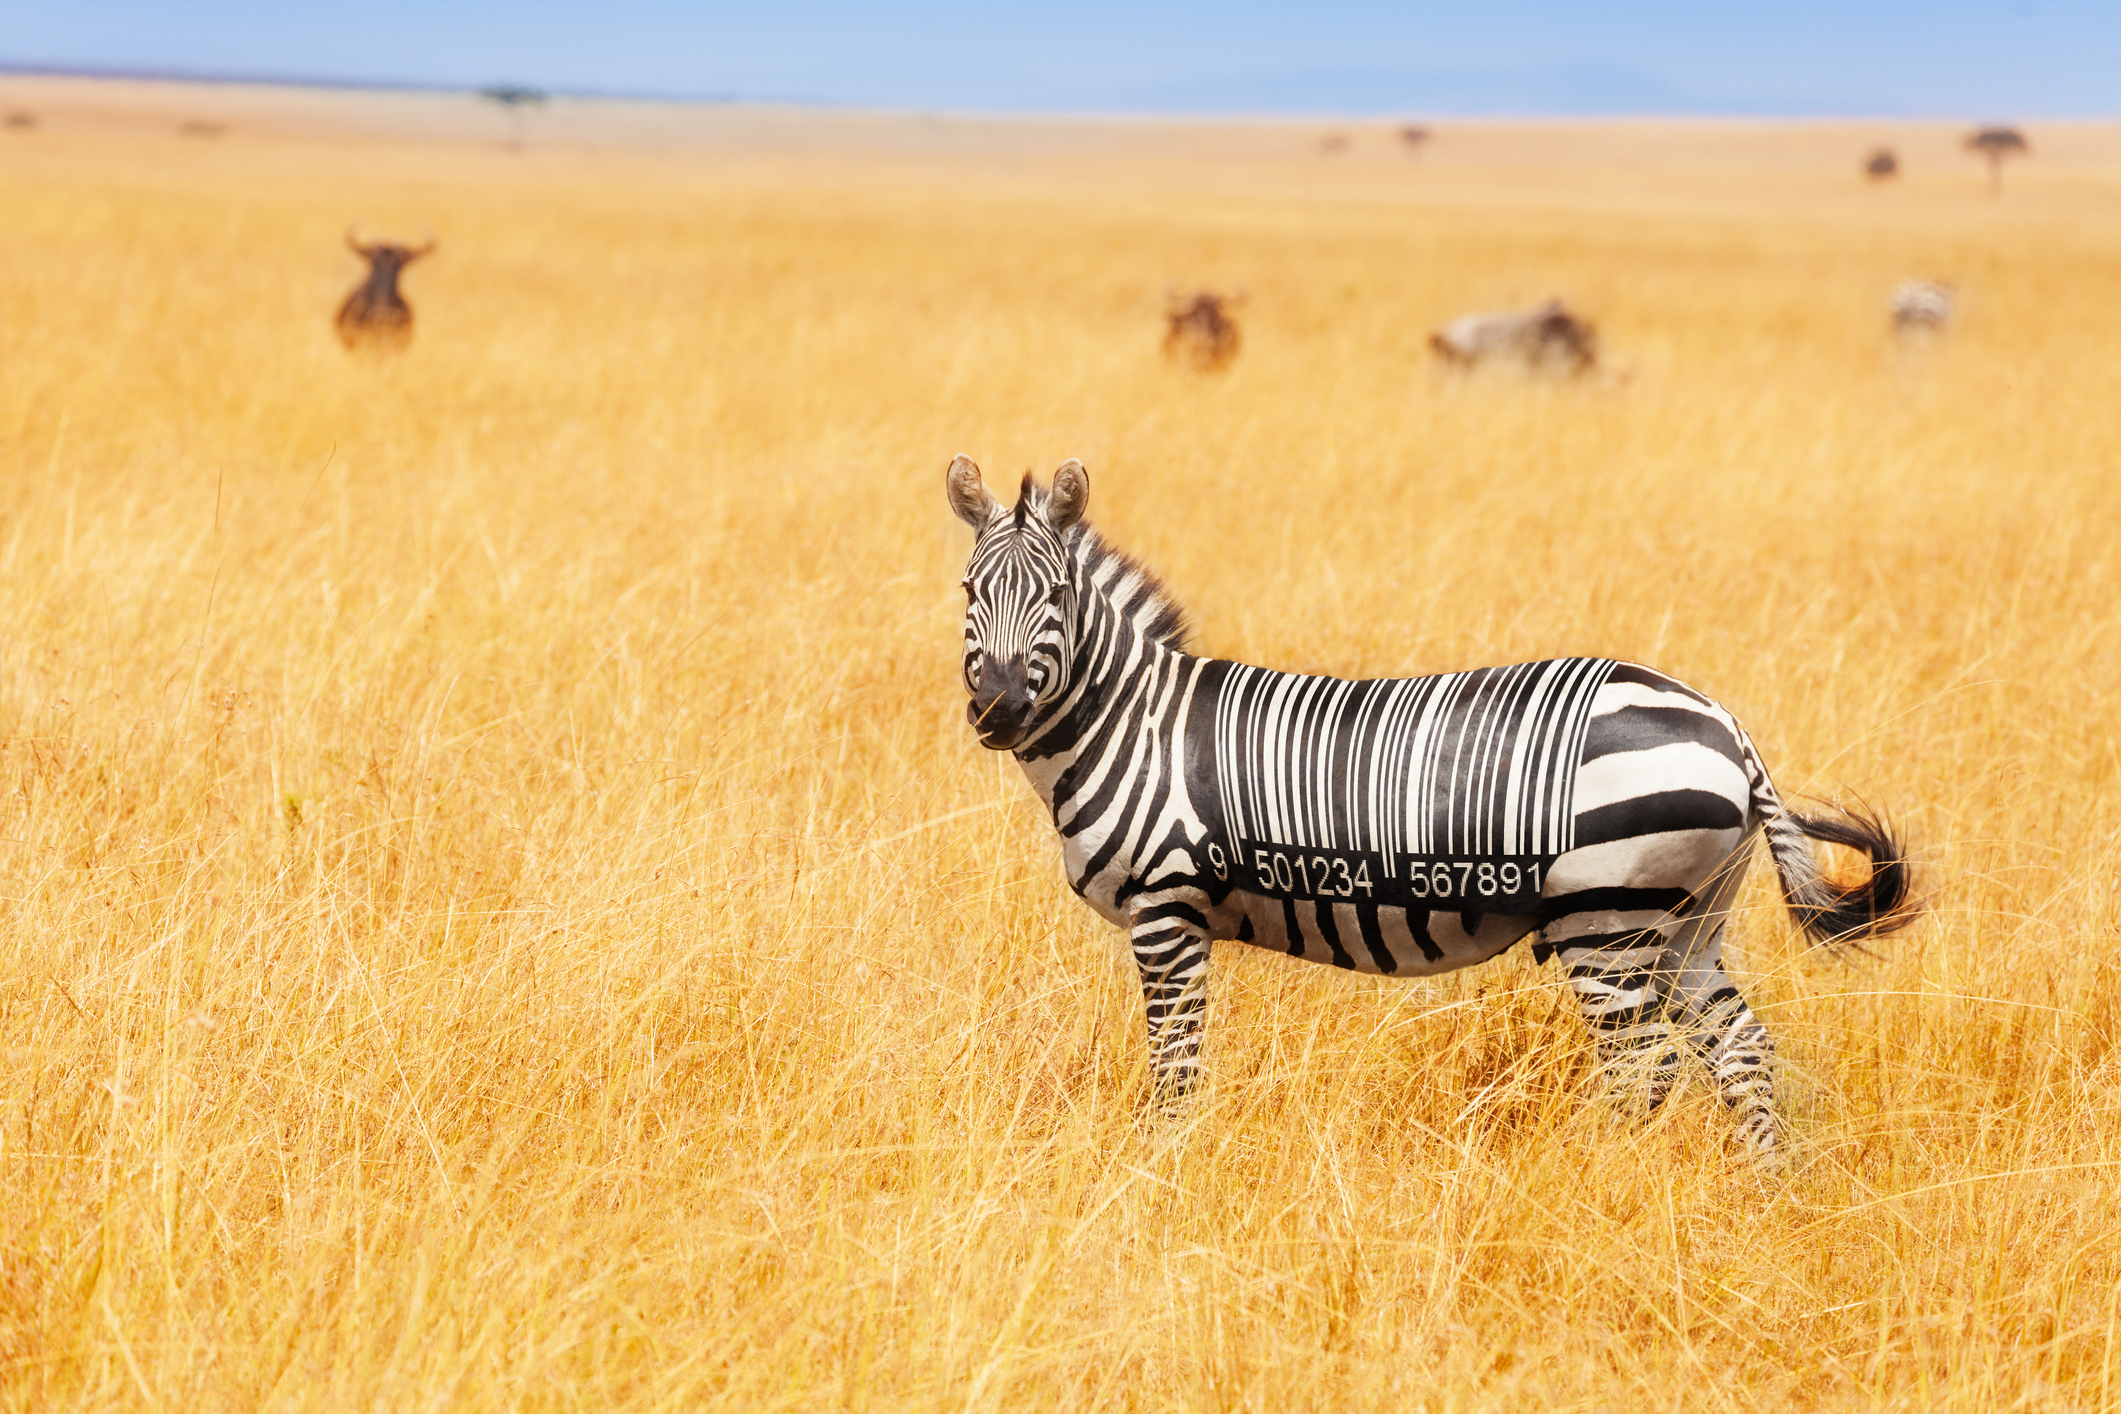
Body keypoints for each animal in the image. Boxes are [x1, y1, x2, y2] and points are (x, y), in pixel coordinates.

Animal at [947, 455, 1917, 1160]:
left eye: (1056, 595)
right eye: (968, 593)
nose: (997, 709)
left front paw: (1166, 1168)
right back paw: (1765, 1188)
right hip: (1688, 920)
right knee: (1738, 1050)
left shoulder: (1166, 911)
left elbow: (1174, 1067)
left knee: (1643, 1070)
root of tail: (1728, 728)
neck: (1131, 723)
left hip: (1606, 920)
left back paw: (1599, 1188)